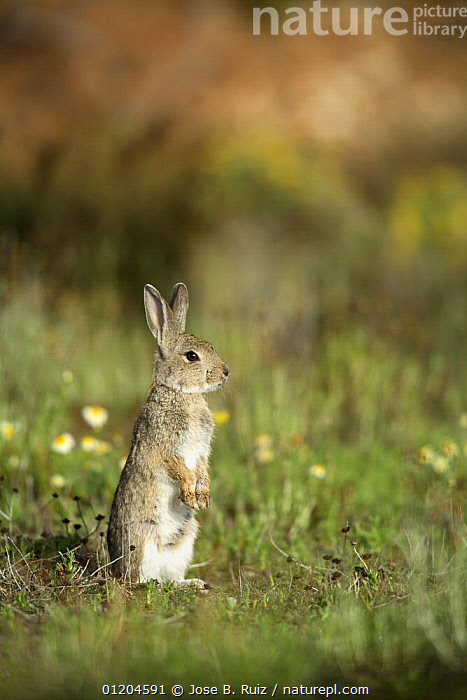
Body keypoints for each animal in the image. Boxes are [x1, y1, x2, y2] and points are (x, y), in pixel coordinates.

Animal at [107, 282, 229, 587]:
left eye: (211, 346)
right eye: (192, 356)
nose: (225, 373)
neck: (181, 392)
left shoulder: (200, 450)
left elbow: (201, 468)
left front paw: (202, 497)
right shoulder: (164, 446)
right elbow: (178, 468)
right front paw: (189, 493)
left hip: (186, 541)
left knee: (171, 578)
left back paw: (192, 584)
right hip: (141, 539)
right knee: (139, 578)